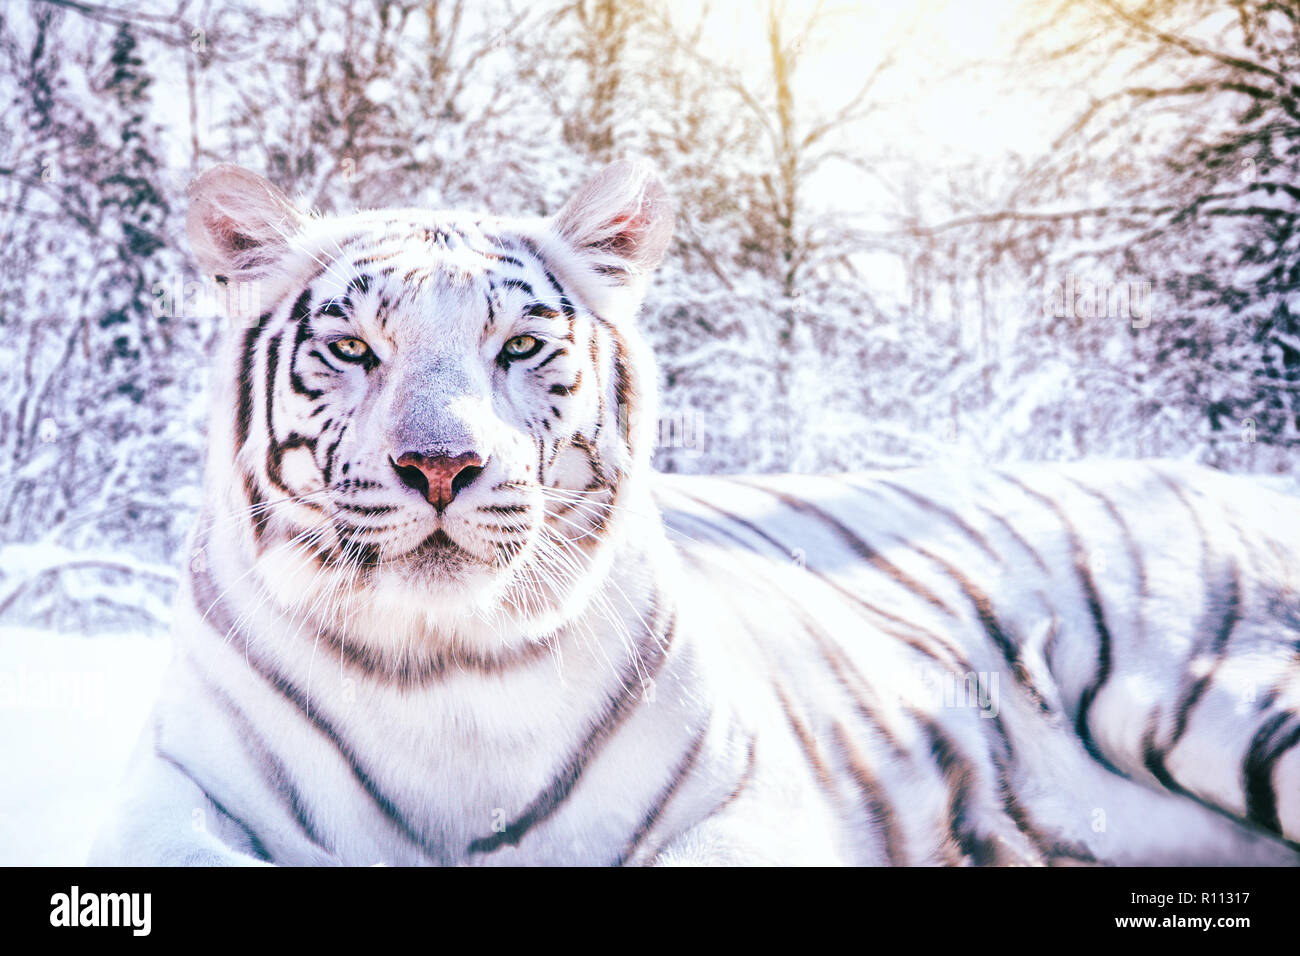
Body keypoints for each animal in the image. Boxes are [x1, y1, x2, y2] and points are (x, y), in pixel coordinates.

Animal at [90, 160, 1300, 867]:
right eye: (351, 346)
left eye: (518, 346)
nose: (441, 465)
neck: (441, 669)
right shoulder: (181, 795)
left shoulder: (742, 800)